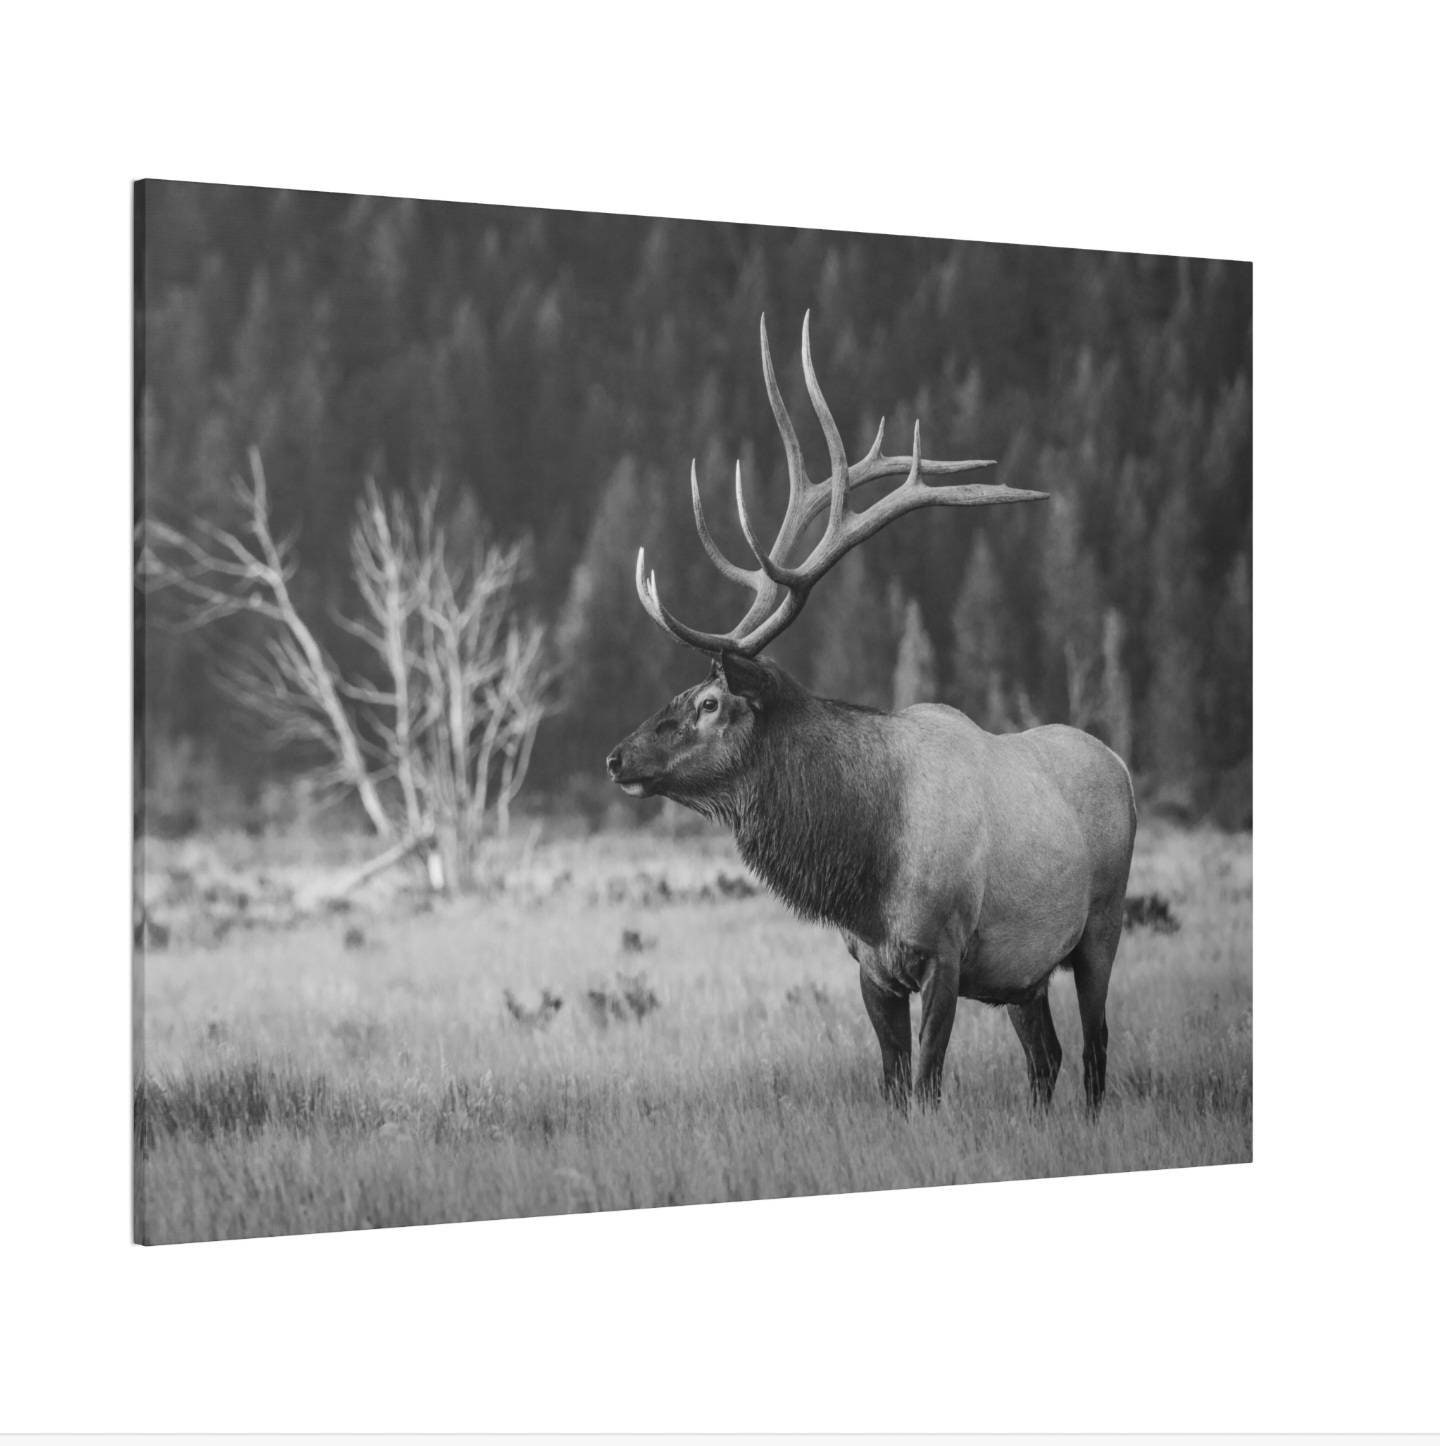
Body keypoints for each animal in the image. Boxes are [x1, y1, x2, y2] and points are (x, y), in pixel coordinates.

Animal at [606, 314, 1136, 1112]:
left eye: (709, 701)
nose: (616, 756)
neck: (866, 871)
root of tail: (1121, 764)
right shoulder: (868, 964)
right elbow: (892, 1086)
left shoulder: (945, 949)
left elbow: (927, 1083)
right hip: (1026, 971)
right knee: (1046, 1058)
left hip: (1101, 924)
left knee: (1097, 1051)